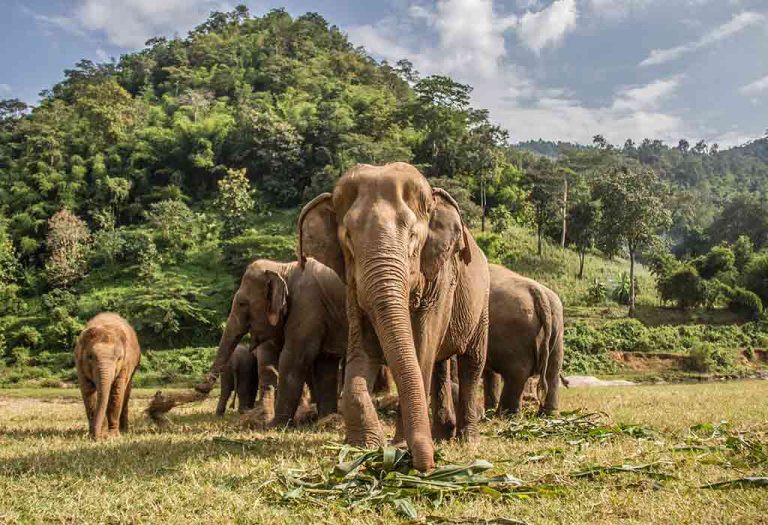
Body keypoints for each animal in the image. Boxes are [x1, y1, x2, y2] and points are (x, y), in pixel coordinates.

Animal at [196, 257, 347, 427]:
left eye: (242, 303)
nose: (200, 387)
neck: (283, 268)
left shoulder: (308, 307)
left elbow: (293, 360)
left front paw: (275, 425)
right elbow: (324, 363)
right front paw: (326, 419)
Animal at [298, 162, 489, 472]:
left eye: (412, 236)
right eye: (348, 238)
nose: (427, 465)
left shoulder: (441, 278)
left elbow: (422, 348)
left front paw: (398, 446)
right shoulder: (352, 287)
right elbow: (363, 349)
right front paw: (362, 447)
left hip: (482, 302)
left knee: (472, 362)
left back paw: (467, 440)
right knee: (440, 365)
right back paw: (442, 435)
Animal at [482, 264, 564, 416]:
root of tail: (538, 292)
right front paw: (488, 411)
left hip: (512, 331)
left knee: (517, 372)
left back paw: (505, 414)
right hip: (557, 327)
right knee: (553, 370)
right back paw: (548, 414)